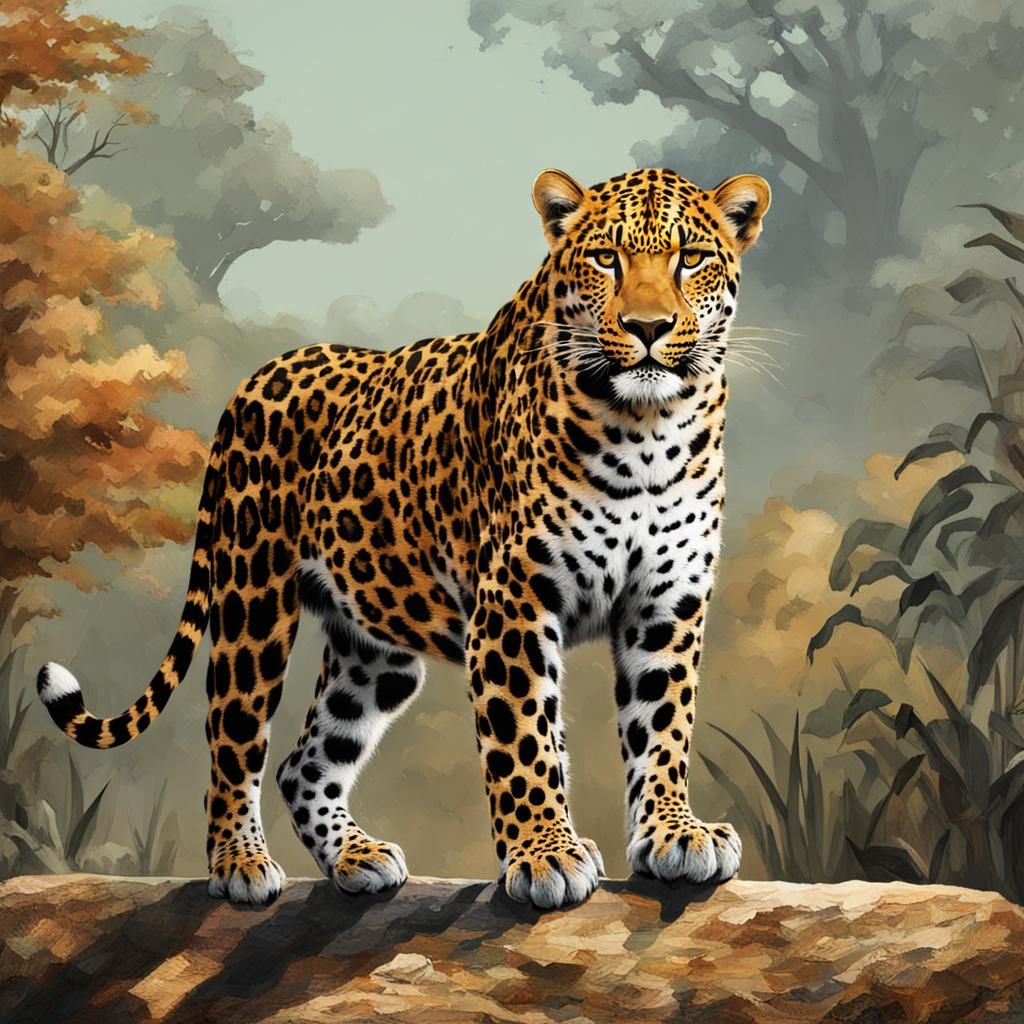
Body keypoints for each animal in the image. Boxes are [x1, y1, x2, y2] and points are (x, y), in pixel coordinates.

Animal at [37, 166, 771, 909]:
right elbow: (525, 737)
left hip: (376, 653)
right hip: (253, 604)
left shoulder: (667, 601)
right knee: (233, 741)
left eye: (691, 259)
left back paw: (354, 857)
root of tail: (256, 377)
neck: (646, 431)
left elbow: (662, 723)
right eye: (605, 259)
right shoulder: (514, 603)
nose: (647, 327)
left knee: (306, 761)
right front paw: (545, 854)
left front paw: (673, 835)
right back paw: (238, 863)